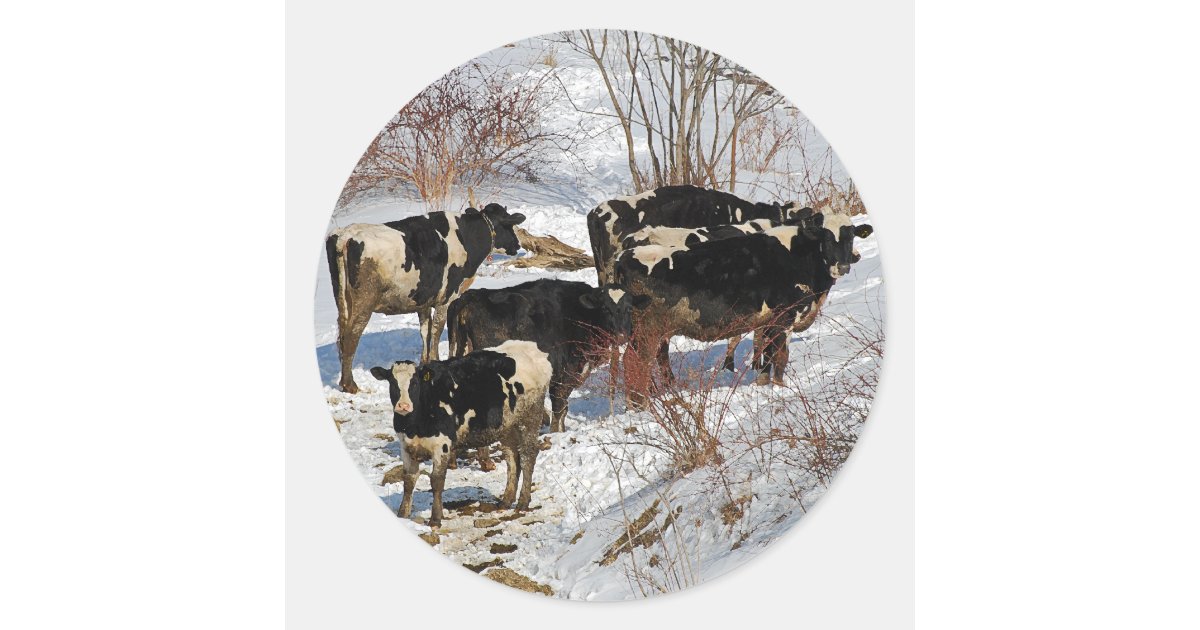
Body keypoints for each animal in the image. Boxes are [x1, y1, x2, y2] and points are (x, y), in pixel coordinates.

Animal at [325, 203, 526, 393]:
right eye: (509, 224)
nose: (517, 245)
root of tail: (346, 234)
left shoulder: (424, 301)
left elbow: (425, 331)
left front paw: (424, 363)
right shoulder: (446, 297)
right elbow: (436, 330)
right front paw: (435, 360)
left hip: (342, 301)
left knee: (342, 336)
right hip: (364, 302)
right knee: (350, 337)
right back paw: (350, 385)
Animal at [370, 340, 552, 528]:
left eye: (414, 383)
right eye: (392, 383)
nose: (403, 406)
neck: (414, 425)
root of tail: (530, 347)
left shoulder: (441, 445)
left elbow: (436, 481)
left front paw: (435, 518)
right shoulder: (406, 446)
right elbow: (408, 480)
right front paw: (403, 515)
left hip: (530, 418)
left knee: (528, 457)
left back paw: (523, 502)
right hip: (507, 426)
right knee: (512, 458)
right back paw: (506, 500)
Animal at [446, 279, 650, 433]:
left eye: (629, 308)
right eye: (605, 308)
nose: (621, 336)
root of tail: (470, 297)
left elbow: (564, 409)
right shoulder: (564, 374)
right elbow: (559, 407)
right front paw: (556, 433)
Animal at [613, 216, 873, 402]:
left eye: (851, 237)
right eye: (826, 238)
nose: (843, 265)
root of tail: (624, 255)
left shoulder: (767, 320)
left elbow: (766, 353)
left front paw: (763, 382)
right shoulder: (785, 316)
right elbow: (780, 356)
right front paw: (780, 388)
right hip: (647, 330)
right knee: (636, 362)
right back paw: (640, 402)